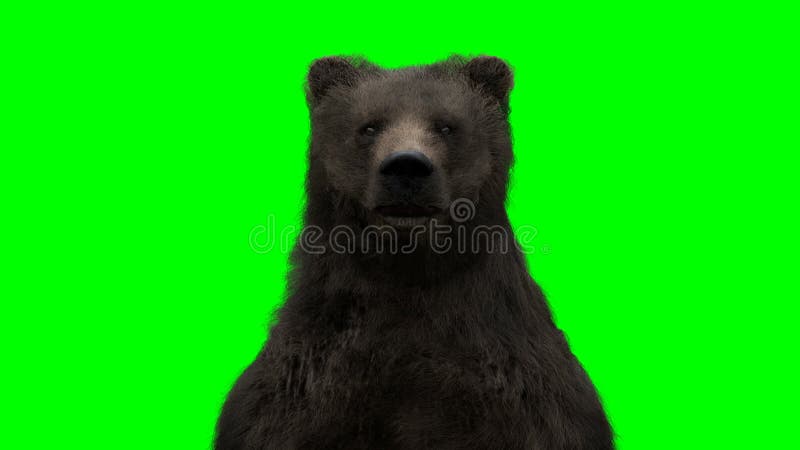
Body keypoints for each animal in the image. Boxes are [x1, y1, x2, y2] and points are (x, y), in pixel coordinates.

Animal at [215, 55, 613, 449]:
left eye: (447, 126)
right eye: (369, 126)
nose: (406, 165)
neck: (408, 269)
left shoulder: (521, 392)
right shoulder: (305, 385)